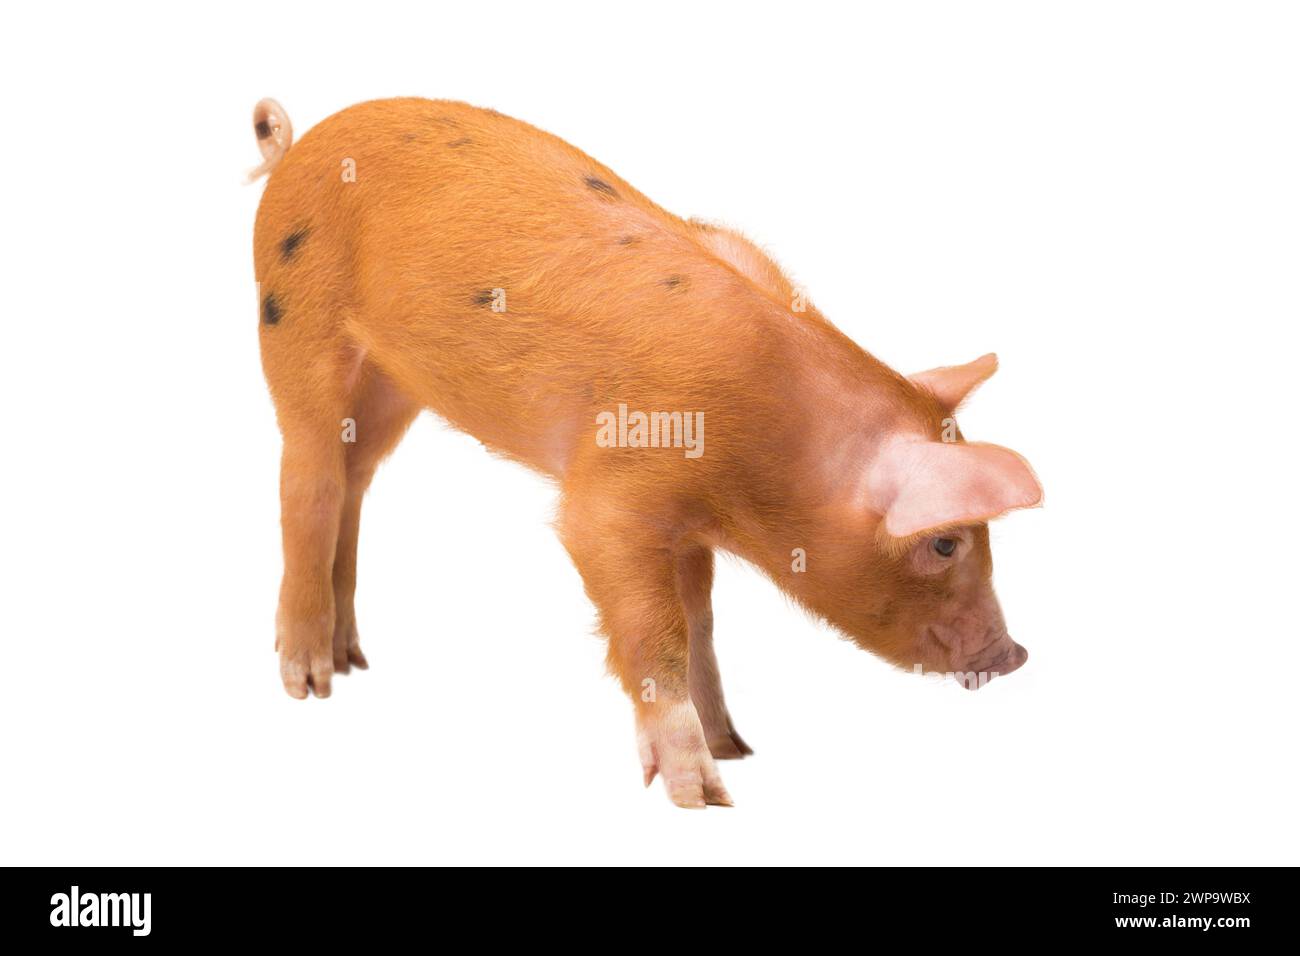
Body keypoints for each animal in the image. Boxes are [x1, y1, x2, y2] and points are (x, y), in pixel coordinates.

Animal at [249, 97, 1042, 808]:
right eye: (946, 543)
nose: (1015, 655)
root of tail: (292, 150)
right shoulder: (612, 498)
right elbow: (653, 629)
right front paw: (706, 795)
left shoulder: (687, 531)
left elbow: (701, 627)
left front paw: (736, 747)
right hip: (293, 320)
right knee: (307, 479)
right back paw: (309, 682)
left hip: (391, 383)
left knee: (355, 477)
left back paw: (352, 658)